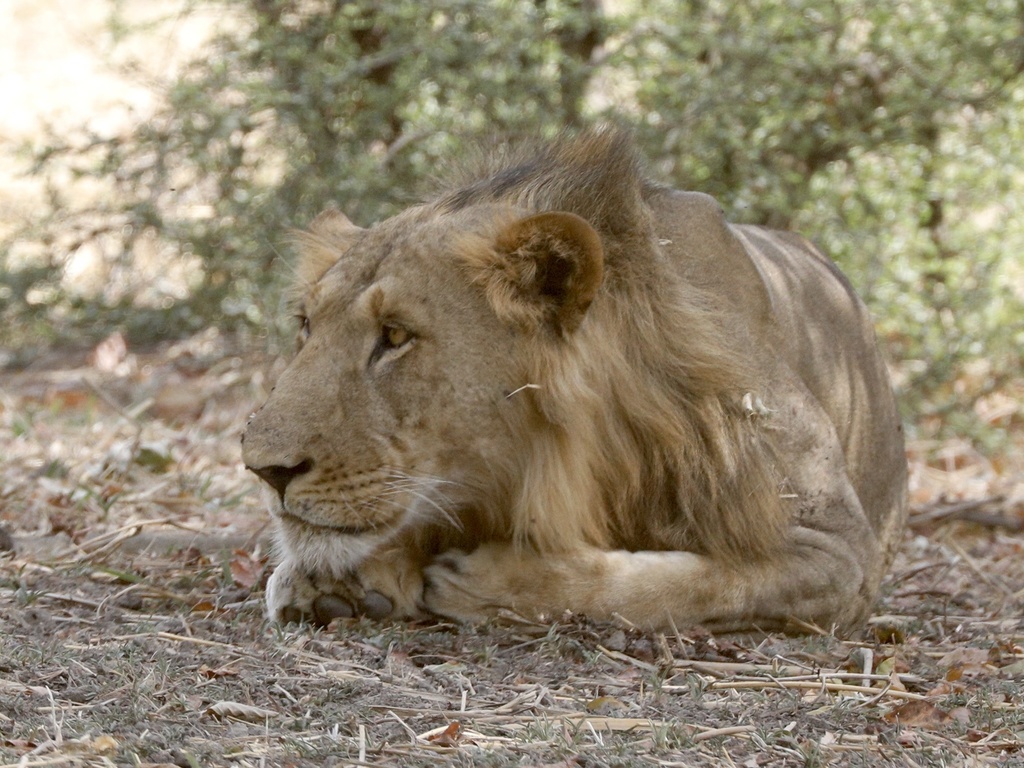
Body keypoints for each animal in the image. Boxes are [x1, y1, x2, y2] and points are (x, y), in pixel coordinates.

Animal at [241, 128, 907, 635]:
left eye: (396, 336)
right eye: (306, 325)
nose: (264, 470)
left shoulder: (840, 550)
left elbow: (694, 584)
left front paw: (493, 582)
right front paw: (335, 578)